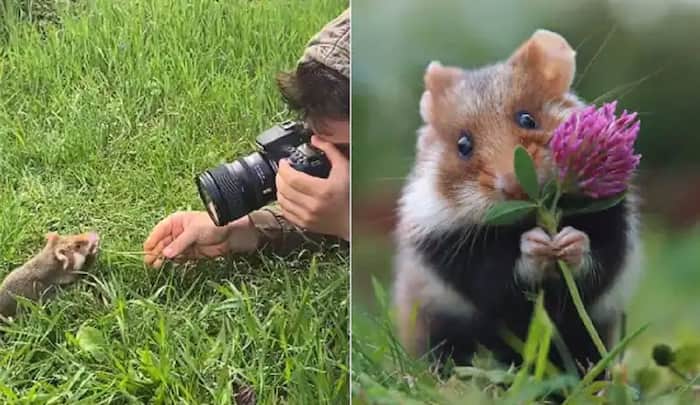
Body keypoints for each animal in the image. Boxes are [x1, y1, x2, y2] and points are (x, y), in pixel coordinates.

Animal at [393, 30, 642, 373]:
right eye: (463, 145)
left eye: (527, 119)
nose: (514, 186)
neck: (530, 215)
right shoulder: (452, 253)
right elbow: (498, 277)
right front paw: (536, 244)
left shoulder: (615, 225)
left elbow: (598, 257)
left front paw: (568, 241)